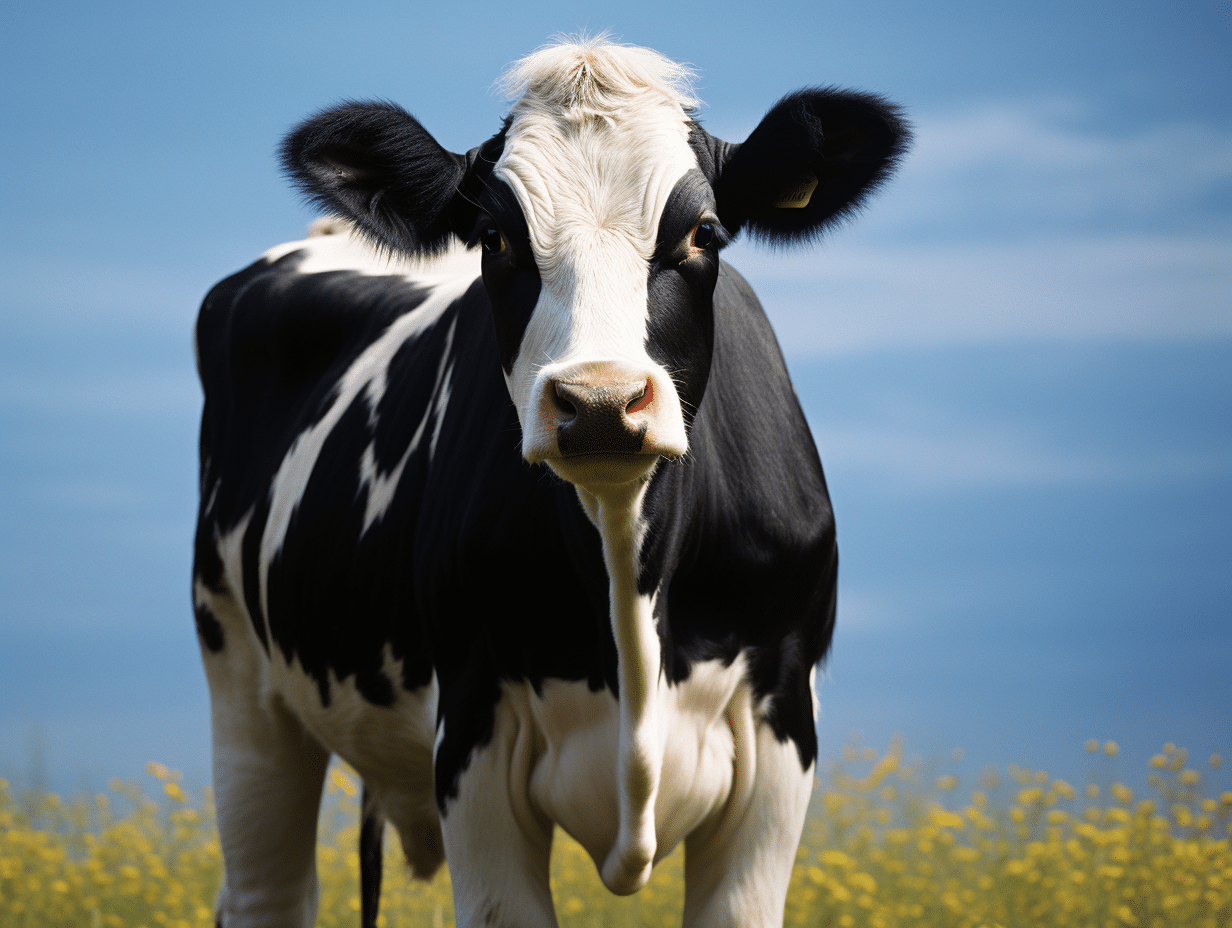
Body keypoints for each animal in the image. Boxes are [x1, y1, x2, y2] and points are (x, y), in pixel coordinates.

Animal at [192, 38, 908, 928]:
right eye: (495, 237)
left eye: (704, 232)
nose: (599, 400)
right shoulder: (473, 734)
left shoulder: (783, 732)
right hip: (239, 676)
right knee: (268, 886)